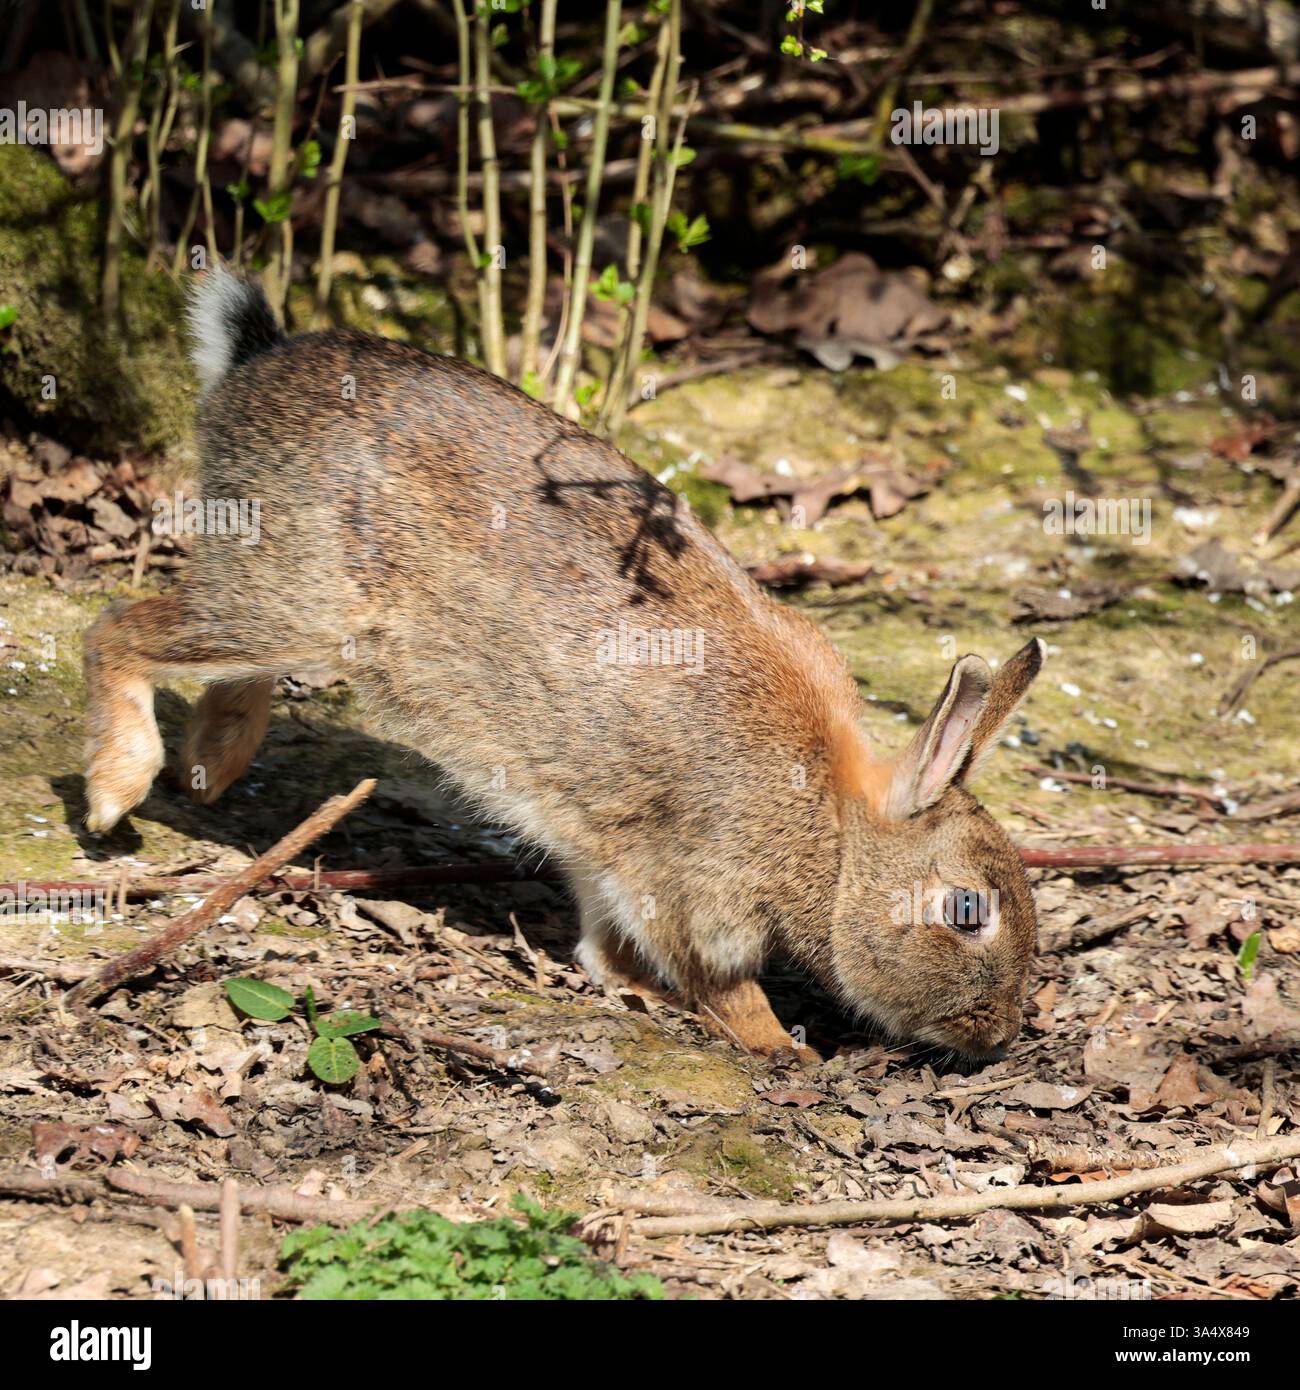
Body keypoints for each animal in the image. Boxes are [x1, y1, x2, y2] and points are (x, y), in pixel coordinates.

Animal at [82, 267, 1045, 1064]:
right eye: (968, 912)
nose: (997, 1035)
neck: (836, 831)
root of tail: (251, 365)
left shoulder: (608, 849)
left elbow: (602, 931)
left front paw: (622, 985)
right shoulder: (697, 885)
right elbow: (719, 981)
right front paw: (781, 1050)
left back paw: (212, 767)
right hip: (298, 598)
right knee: (117, 630)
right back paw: (115, 789)